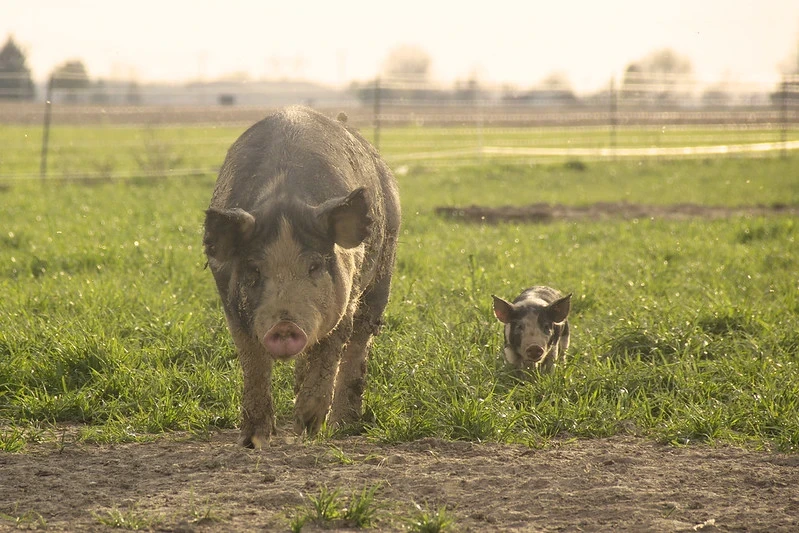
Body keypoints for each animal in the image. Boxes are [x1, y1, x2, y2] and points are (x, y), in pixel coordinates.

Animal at [203, 106, 401, 448]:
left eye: (314, 266)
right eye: (254, 269)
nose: (285, 325)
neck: (283, 198)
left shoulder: (344, 300)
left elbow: (330, 351)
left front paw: (307, 427)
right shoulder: (232, 306)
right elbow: (253, 362)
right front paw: (254, 441)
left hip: (383, 273)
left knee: (360, 342)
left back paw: (343, 425)